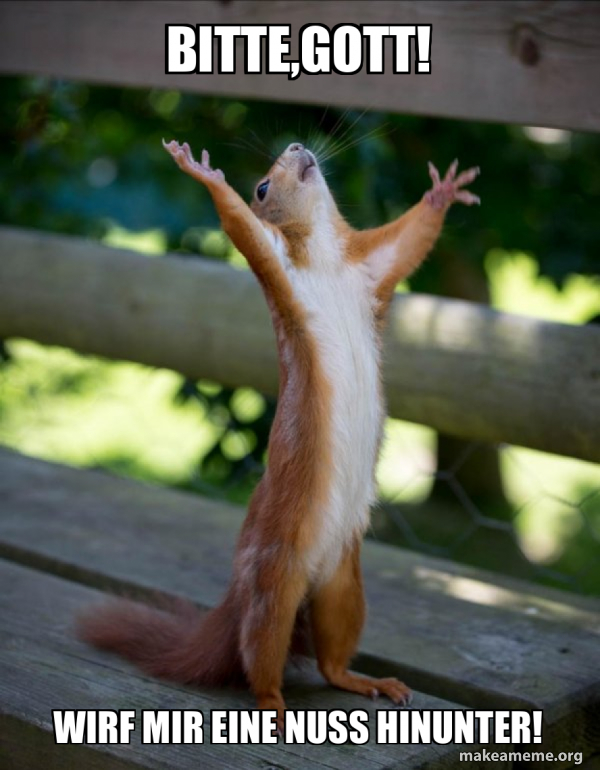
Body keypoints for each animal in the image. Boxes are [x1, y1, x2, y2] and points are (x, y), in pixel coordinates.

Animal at [78, 138, 479, 729]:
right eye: (262, 187)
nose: (296, 146)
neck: (326, 257)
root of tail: (239, 595)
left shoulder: (371, 267)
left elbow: (409, 240)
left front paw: (443, 192)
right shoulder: (277, 265)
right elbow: (240, 226)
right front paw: (204, 173)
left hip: (344, 587)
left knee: (331, 660)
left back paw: (367, 680)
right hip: (274, 584)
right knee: (259, 655)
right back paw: (273, 704)